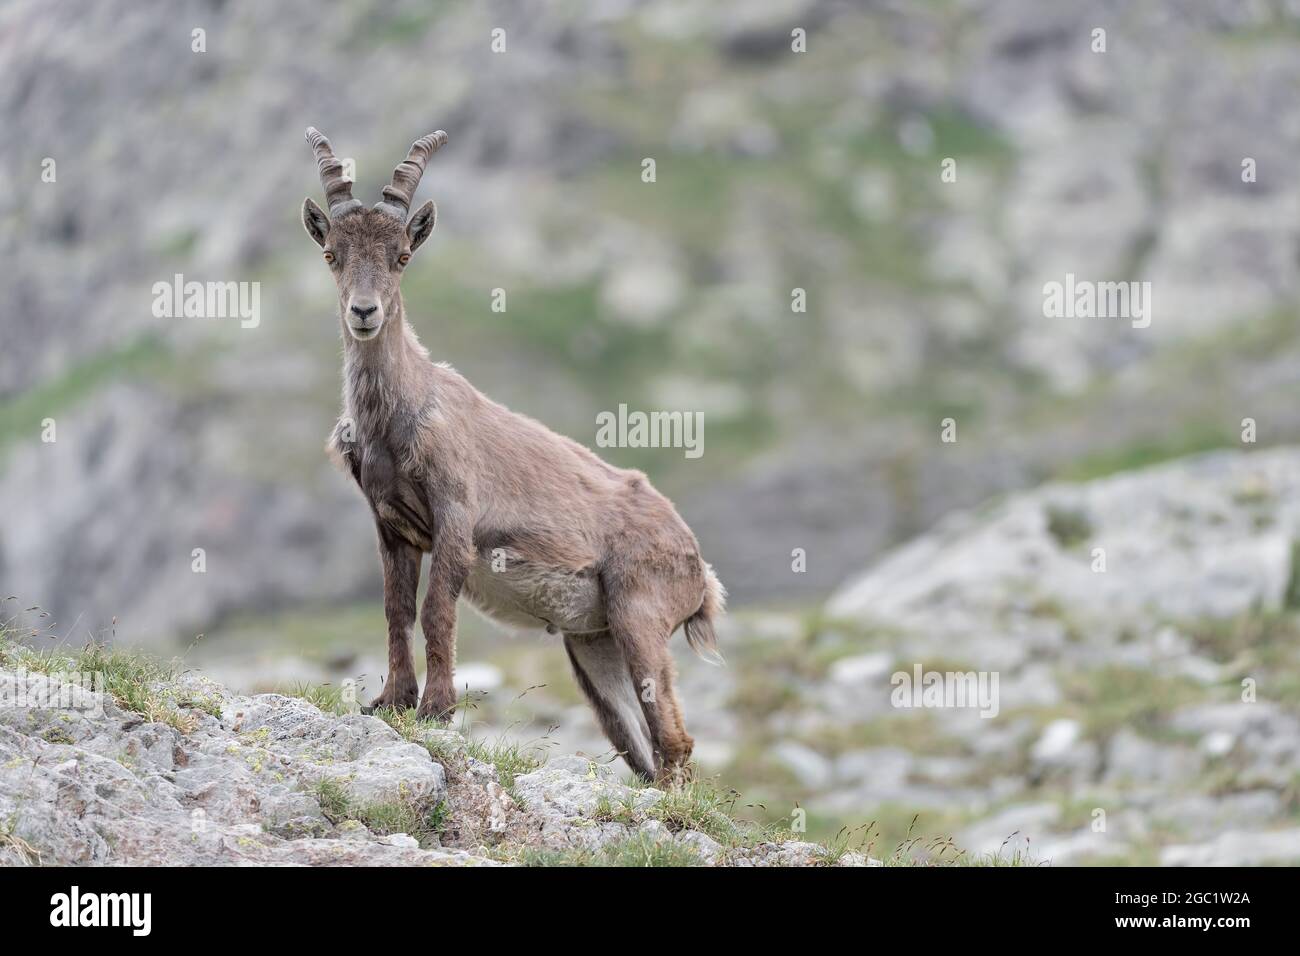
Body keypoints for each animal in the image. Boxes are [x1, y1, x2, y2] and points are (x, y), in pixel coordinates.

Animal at [301, 128, 725, 782]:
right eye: (332, 255)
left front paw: (437, 708)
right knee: (645, 749)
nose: (364, 312)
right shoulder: (390, 525)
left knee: (676, 741)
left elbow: (436, 610)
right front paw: (391, 700)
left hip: (641, 617)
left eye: (402, 255)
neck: (398, 414)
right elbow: (396, 610)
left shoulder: (456, 515)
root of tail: (698, 568)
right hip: (593, 645)